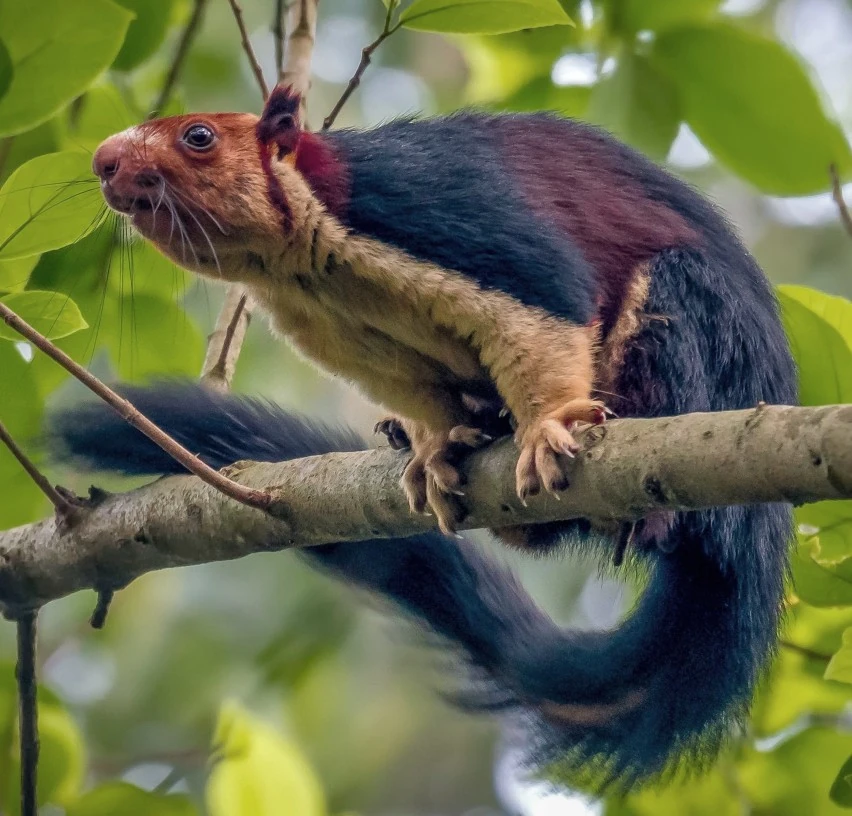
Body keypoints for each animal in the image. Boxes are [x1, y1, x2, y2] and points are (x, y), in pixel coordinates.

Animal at [75, 85, 798, 789]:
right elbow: (419, 391)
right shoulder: (336, 331)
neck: (302, 263)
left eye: (197, 136)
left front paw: (548, 426)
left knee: (674, 300)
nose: (103, 160)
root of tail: (758, 534)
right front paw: (430, 449)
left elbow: (548, 298)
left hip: (700, 342)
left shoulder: (428, 209)